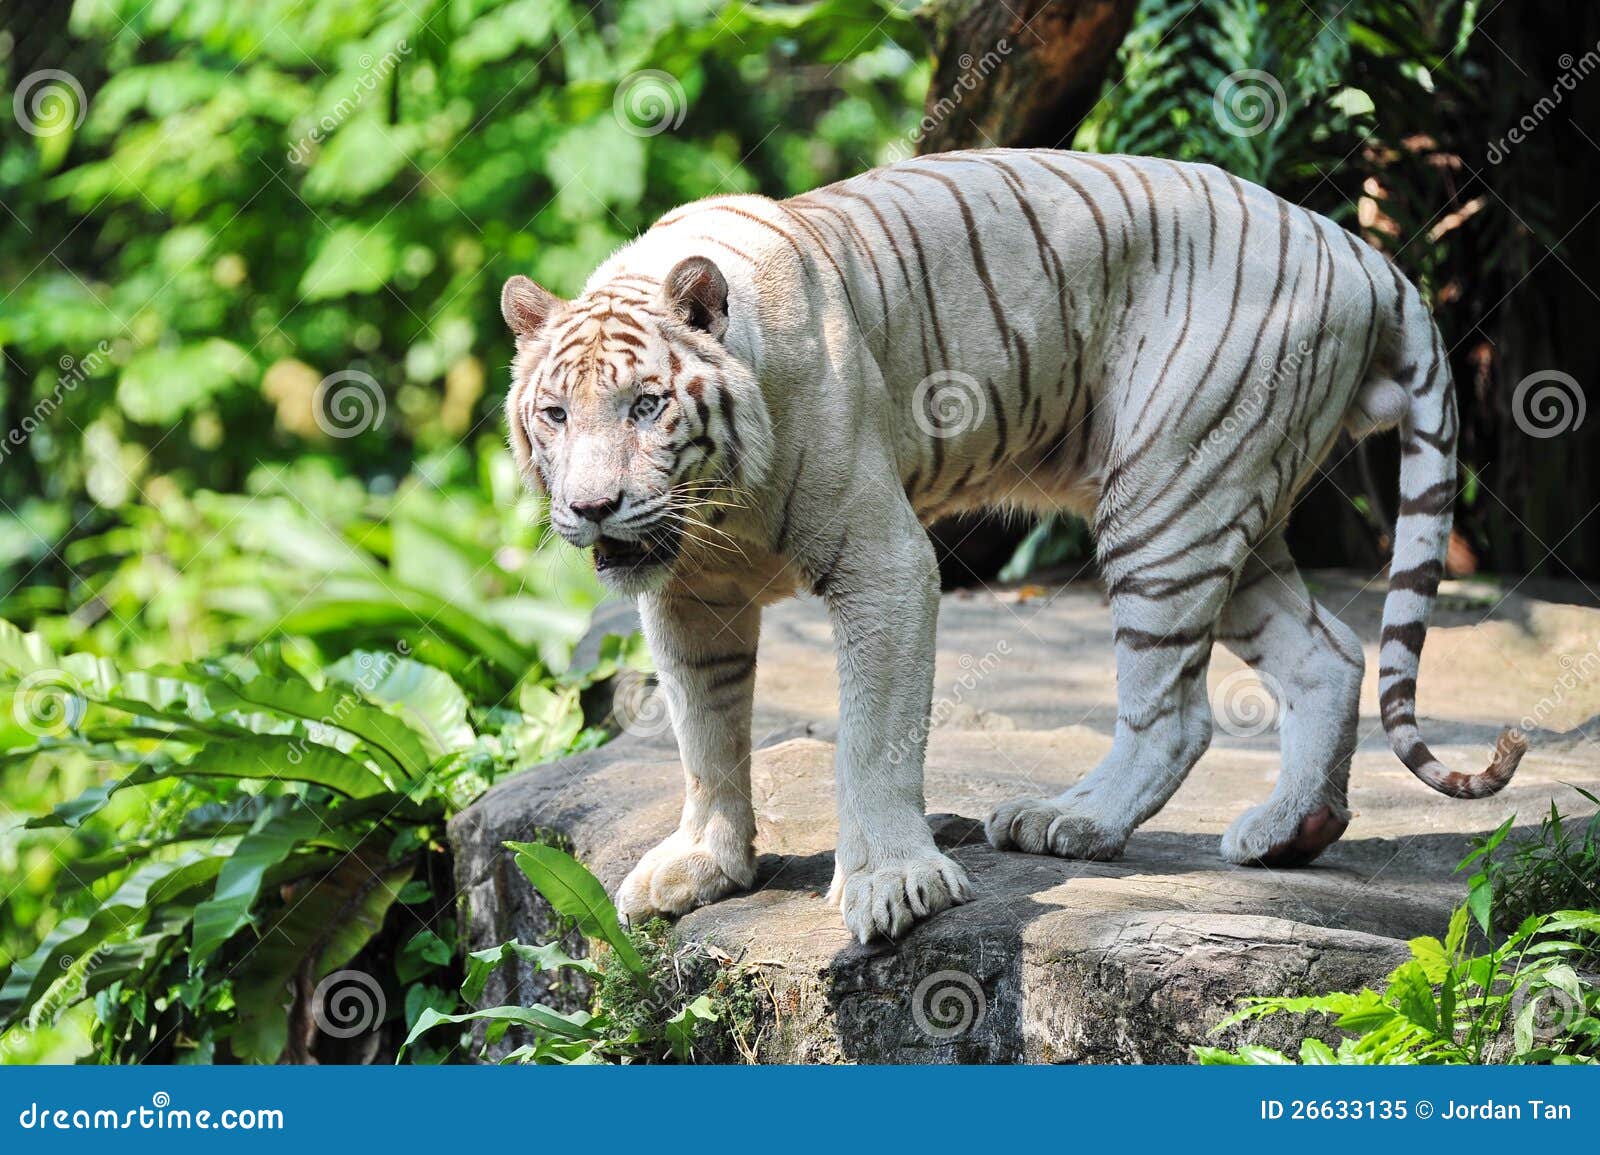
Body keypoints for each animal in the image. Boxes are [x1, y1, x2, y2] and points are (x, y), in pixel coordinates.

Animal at [500, 148, 1527, 945]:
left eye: (646, 405)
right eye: (555, 415)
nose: (593, 506)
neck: (716, 504)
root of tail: (1358, 249)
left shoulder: (882, 561)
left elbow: (869, 738)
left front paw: (893, 883)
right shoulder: (689, 595)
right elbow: (705, 735)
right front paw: (704, 864)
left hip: (1167, 497)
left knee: (1177, 711)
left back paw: (1070, 818)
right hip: (1230, 500)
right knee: (1327, 653)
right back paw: (1289, 830)